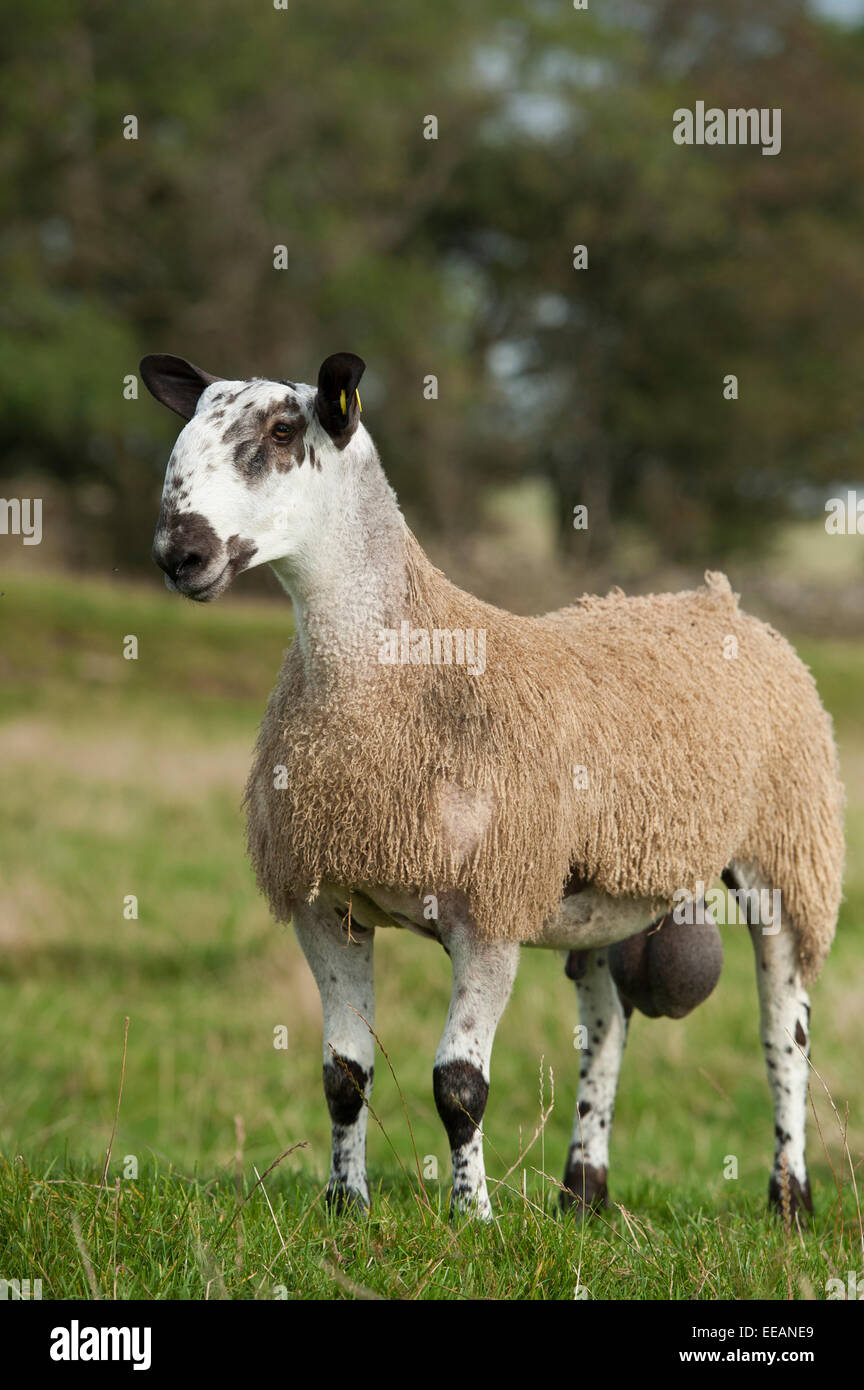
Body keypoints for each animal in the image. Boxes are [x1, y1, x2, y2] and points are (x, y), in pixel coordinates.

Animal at [142, 349, 845, 1223]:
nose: (179, 554)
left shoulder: (491, 906)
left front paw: (472, 1216)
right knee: (605, 1026)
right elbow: (344, 1075)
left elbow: (459, 1085)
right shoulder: (325, 901)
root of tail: (720, 599)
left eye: (279, 432)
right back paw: (583, 1192)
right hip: (602, 891)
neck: (398, 669)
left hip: (786, 850)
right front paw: (346, 1206)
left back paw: (790, 1200)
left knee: (783, 1031)